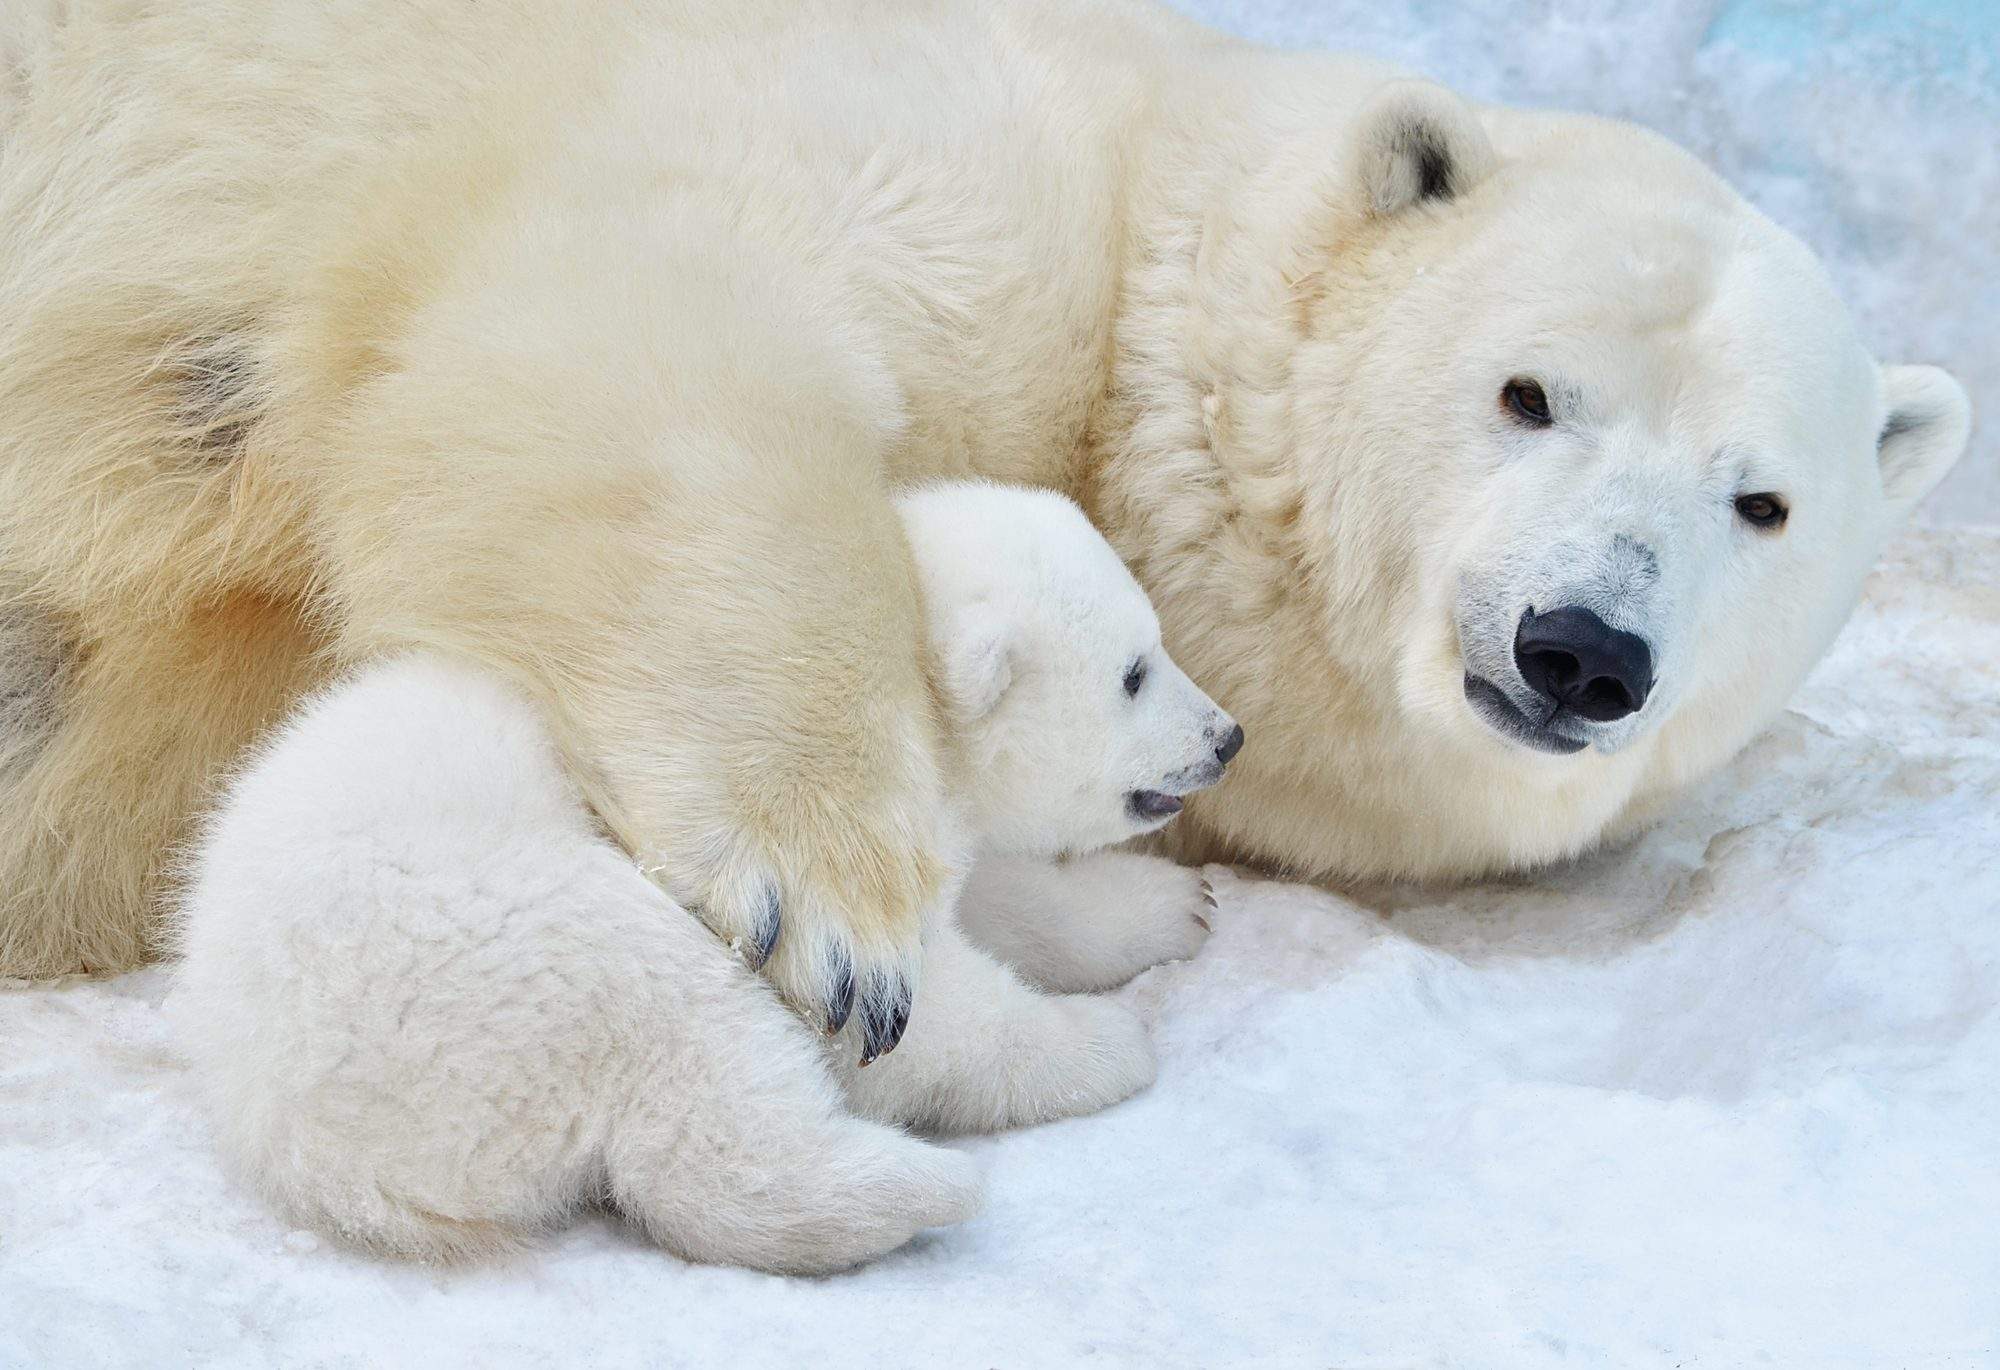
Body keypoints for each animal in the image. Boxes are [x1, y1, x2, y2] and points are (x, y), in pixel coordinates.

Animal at [0, 2, 1971, 1048]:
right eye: (1528, 392)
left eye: (1762, 499)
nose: (1582, 648)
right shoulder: (947, 156)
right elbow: (651, 311)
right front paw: (837, 906)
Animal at [168, 482, 1240, 1273]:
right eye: (1135, 671)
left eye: (1154, 643)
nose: (1227, 737)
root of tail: (300, 1145)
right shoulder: (820, 850)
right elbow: (911, 1017)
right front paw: (1108, 1042)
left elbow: (1000, 899)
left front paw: (1175, 904)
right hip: (480, 949)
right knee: (688, 1058)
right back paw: (916, 1186)